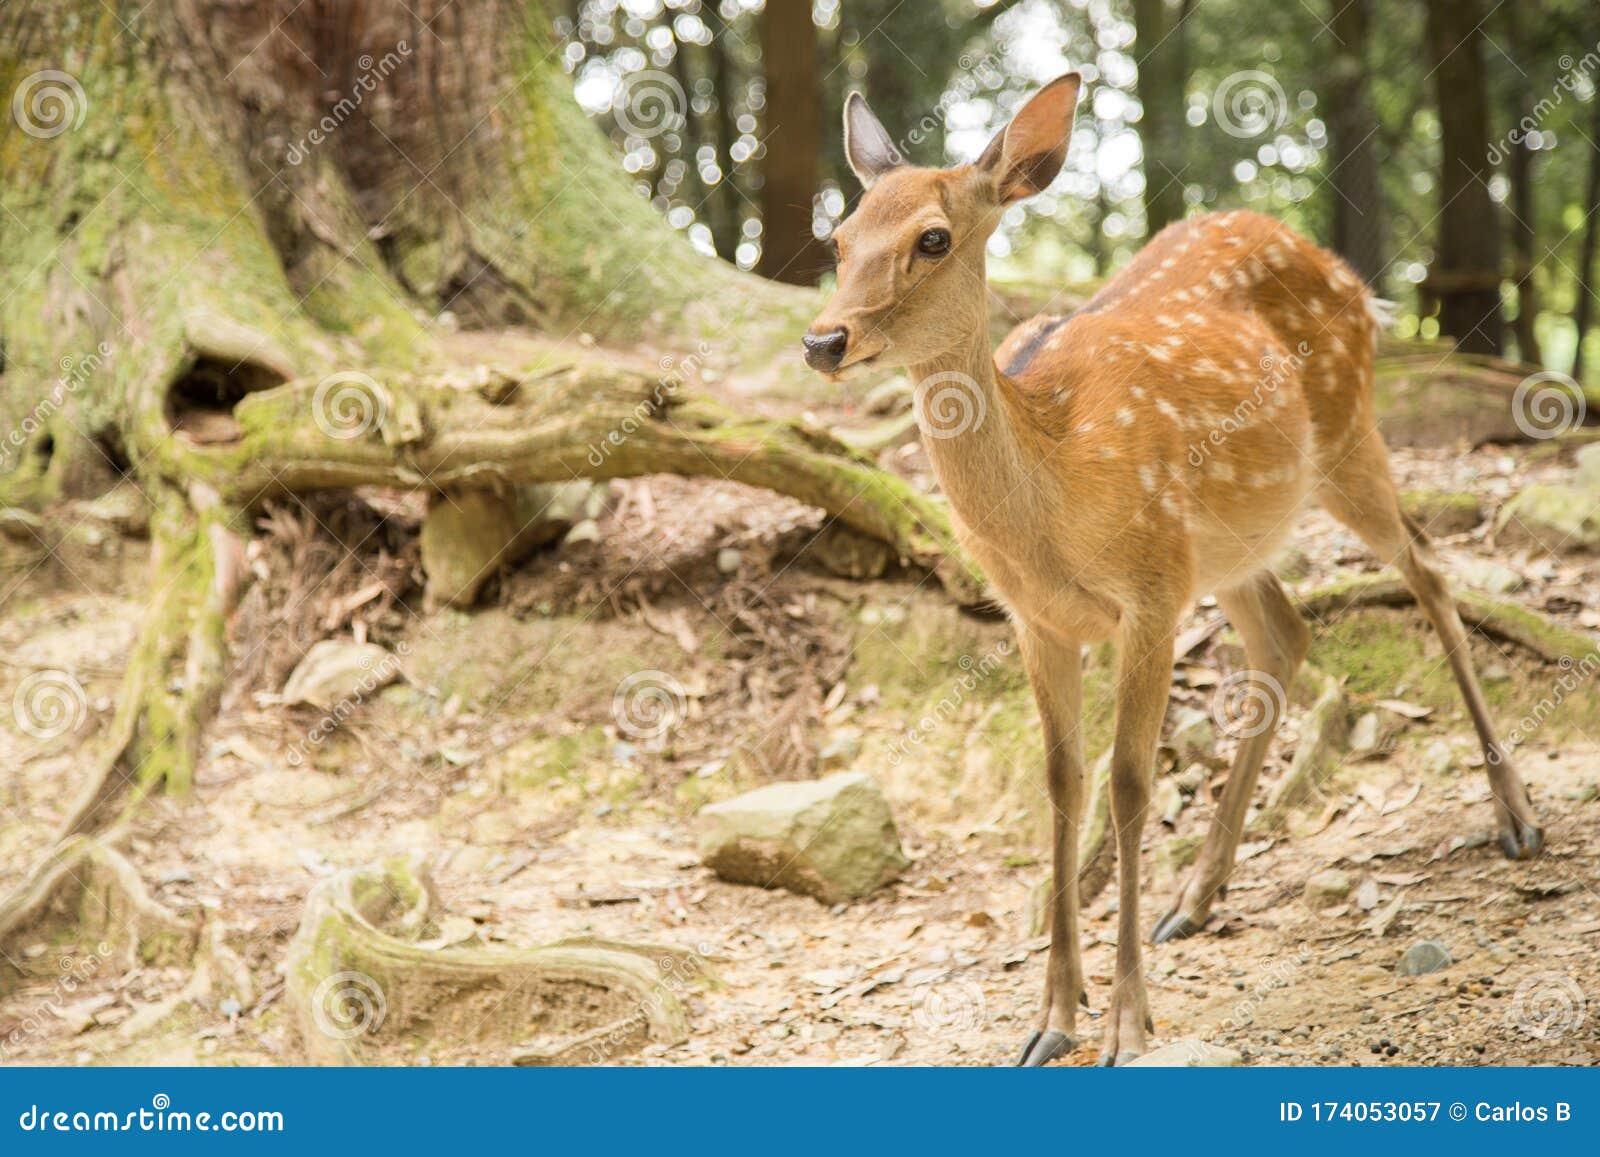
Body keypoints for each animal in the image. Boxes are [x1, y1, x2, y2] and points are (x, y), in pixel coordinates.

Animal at [802, 73, 1545, 1067]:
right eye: (840, 237)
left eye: (932, 237)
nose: (823, 340)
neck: (1055, 494)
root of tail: (1352, 278)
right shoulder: (1038, 619)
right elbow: (1061, 781)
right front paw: (1052, 1015)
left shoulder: (1150, 591)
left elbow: (1128, 782)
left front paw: (1124, 1019)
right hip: (1228, 541)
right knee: (1288, 632)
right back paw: (1196, 897)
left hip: (1347, 435)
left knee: (1427, 568)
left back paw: (1516, 817)